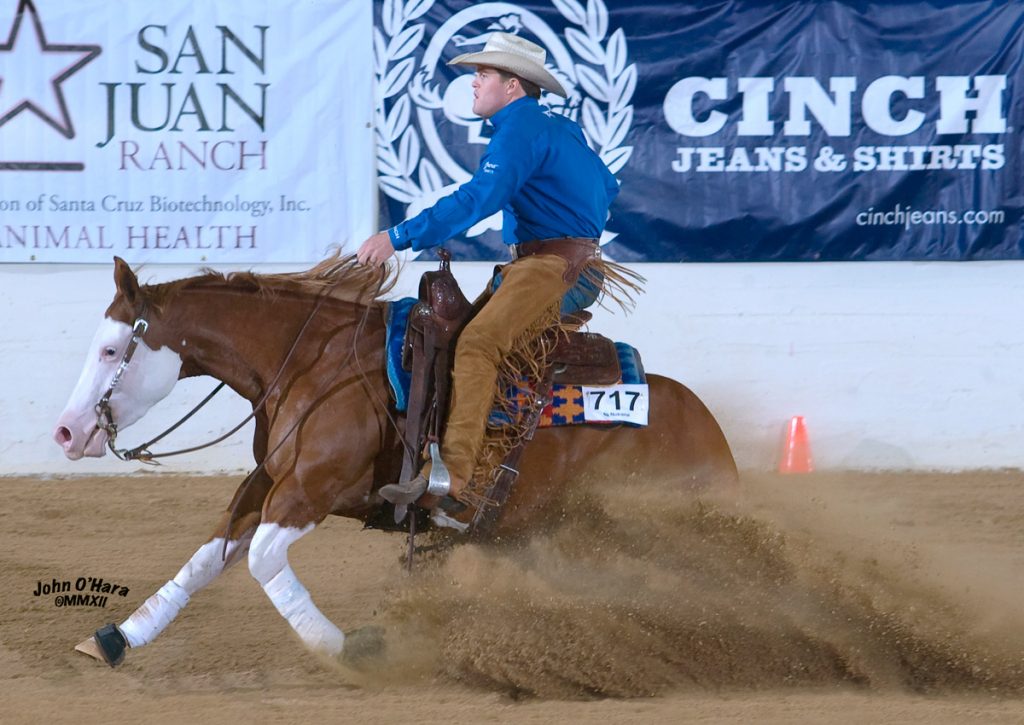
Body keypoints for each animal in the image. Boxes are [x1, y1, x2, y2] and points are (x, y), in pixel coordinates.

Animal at [53, 254, 738, 667]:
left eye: (111, 349)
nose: (66, 432)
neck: (314, 363)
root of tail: (705, 426)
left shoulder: (311, 489)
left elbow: (262, 559)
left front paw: (353, 649)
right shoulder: (269, 479)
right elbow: (206, 558)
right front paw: (117, 637)